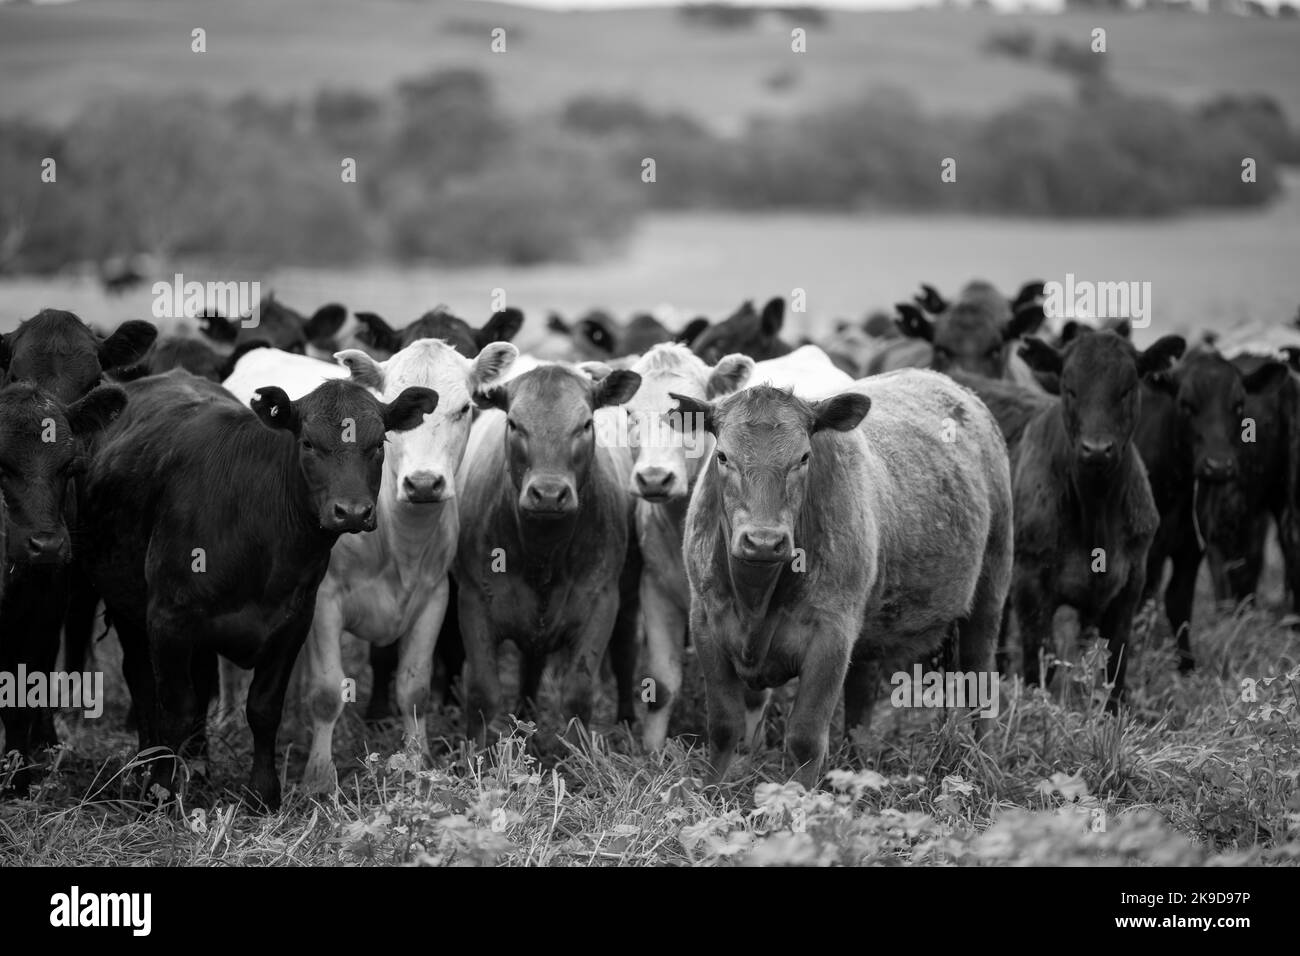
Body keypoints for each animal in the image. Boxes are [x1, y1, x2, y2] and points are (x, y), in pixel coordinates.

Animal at [79, 370, 437, 809]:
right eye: (308, 443)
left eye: (377, 444)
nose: (352, 511)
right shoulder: (168, 617)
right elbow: (173, 709)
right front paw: (161, 791)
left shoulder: (293, 621)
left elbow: (263, 708)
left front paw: (263, 793)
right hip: (127, 604)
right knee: (142, 682)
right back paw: (145, 766)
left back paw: (197, 765)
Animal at [454, 363, 642, 745]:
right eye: (514, 423)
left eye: (585, 424)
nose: (549, 494)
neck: (542, 553)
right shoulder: (473, 602)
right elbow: (483, 692)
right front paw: (475, 751)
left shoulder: (601, 603)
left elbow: (578, 695)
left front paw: (580, 753)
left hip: (629, 593)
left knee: (625, 652)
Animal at [671, 369, 1013, 788]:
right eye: (722, 456)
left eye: (803, 457)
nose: (763, 540)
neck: (756, 598)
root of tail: (947, 384)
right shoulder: (706, 623)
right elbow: (723, 726)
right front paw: (711, 791)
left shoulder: (830, 636)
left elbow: (805, 737)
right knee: (860, 706)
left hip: (991, 591)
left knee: (980, 682)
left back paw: (984, 765)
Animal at [961, 329, 1184, 707]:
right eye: (1069, 387)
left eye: (1127, 388)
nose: (1096, 449)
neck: (1096, 513)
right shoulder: (1030, 581)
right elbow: (1042, 658)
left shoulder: (1131, 581)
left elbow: (1116, 662)